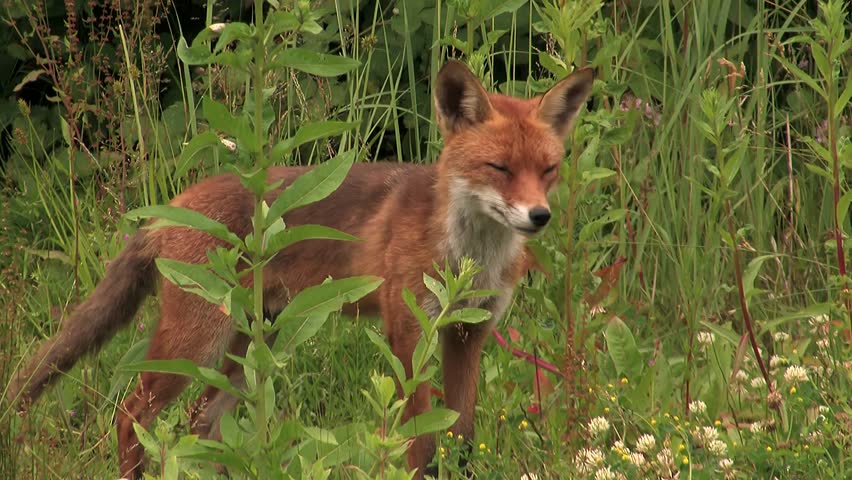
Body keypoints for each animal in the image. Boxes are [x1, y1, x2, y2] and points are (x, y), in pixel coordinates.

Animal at [7, 60, 593, 479]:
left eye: (548, 169)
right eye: (499, 168)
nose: (539, 216)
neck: (469, 258)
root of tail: (171, 206)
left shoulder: (469, 333)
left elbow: (462, 440)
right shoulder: (408, 332)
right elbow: (420, 444)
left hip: (248, 346)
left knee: (203, 423)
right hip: (196, 342)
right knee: (131, 419)